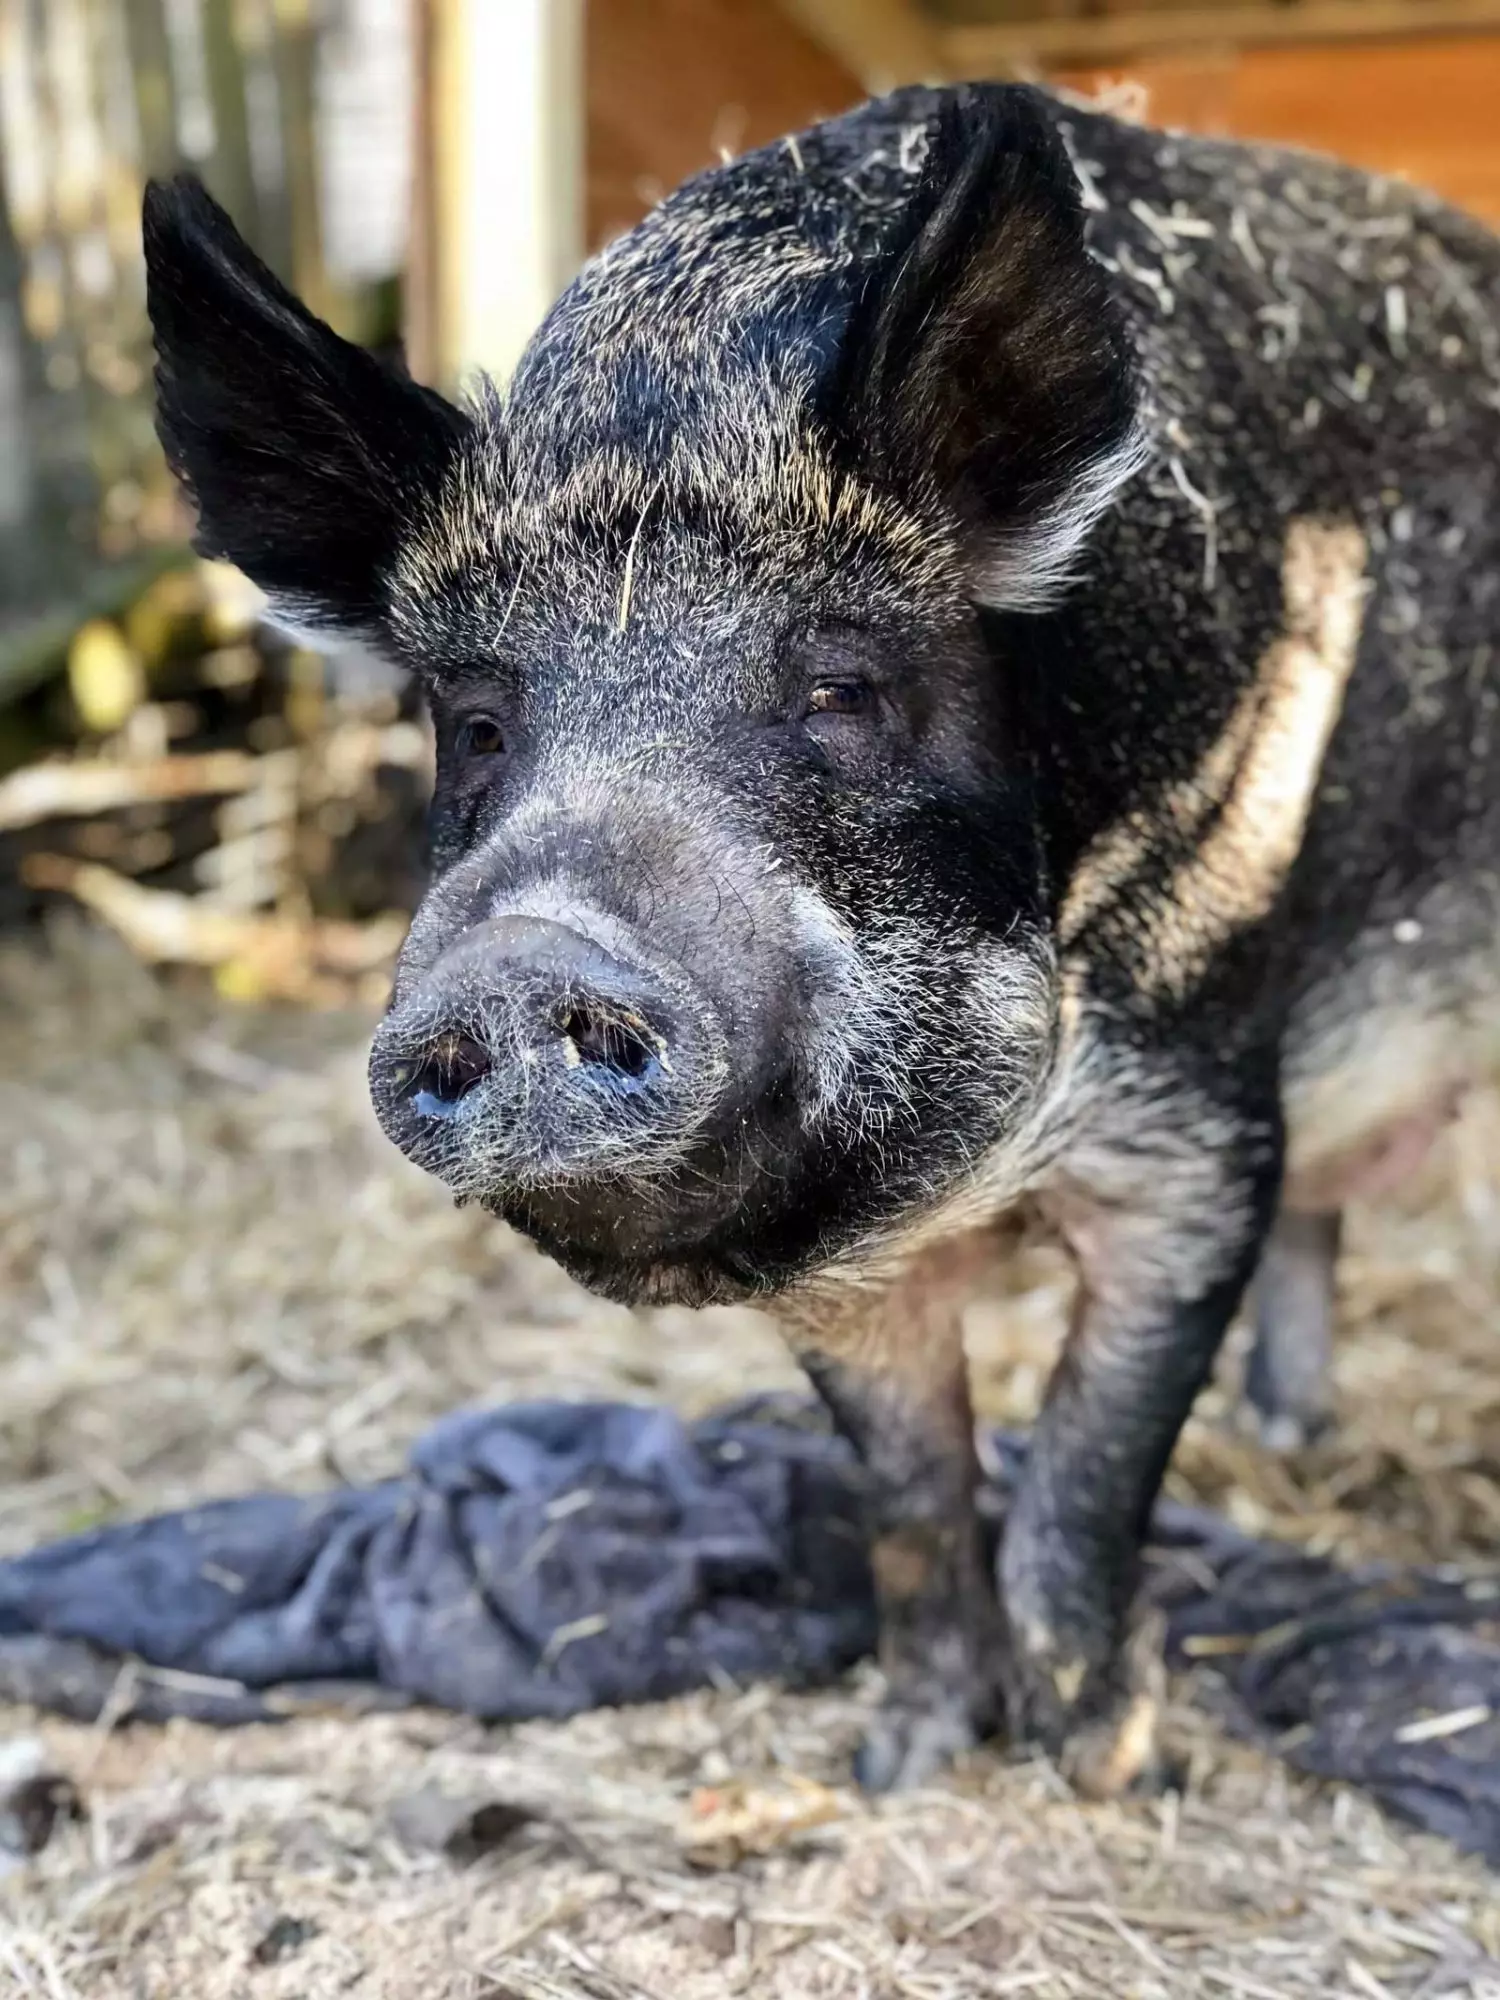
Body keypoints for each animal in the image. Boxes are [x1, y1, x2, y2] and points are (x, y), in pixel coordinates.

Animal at [147, 82, 1500, 1800]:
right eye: (476, 724)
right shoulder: (844, 1284)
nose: (526, 953)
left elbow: (1077, 1484)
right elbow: (914, 1507)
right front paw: (903, 1765)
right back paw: (1286, 1437)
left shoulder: (1194, 1132)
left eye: (842, 689)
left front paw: (1104, 1767)